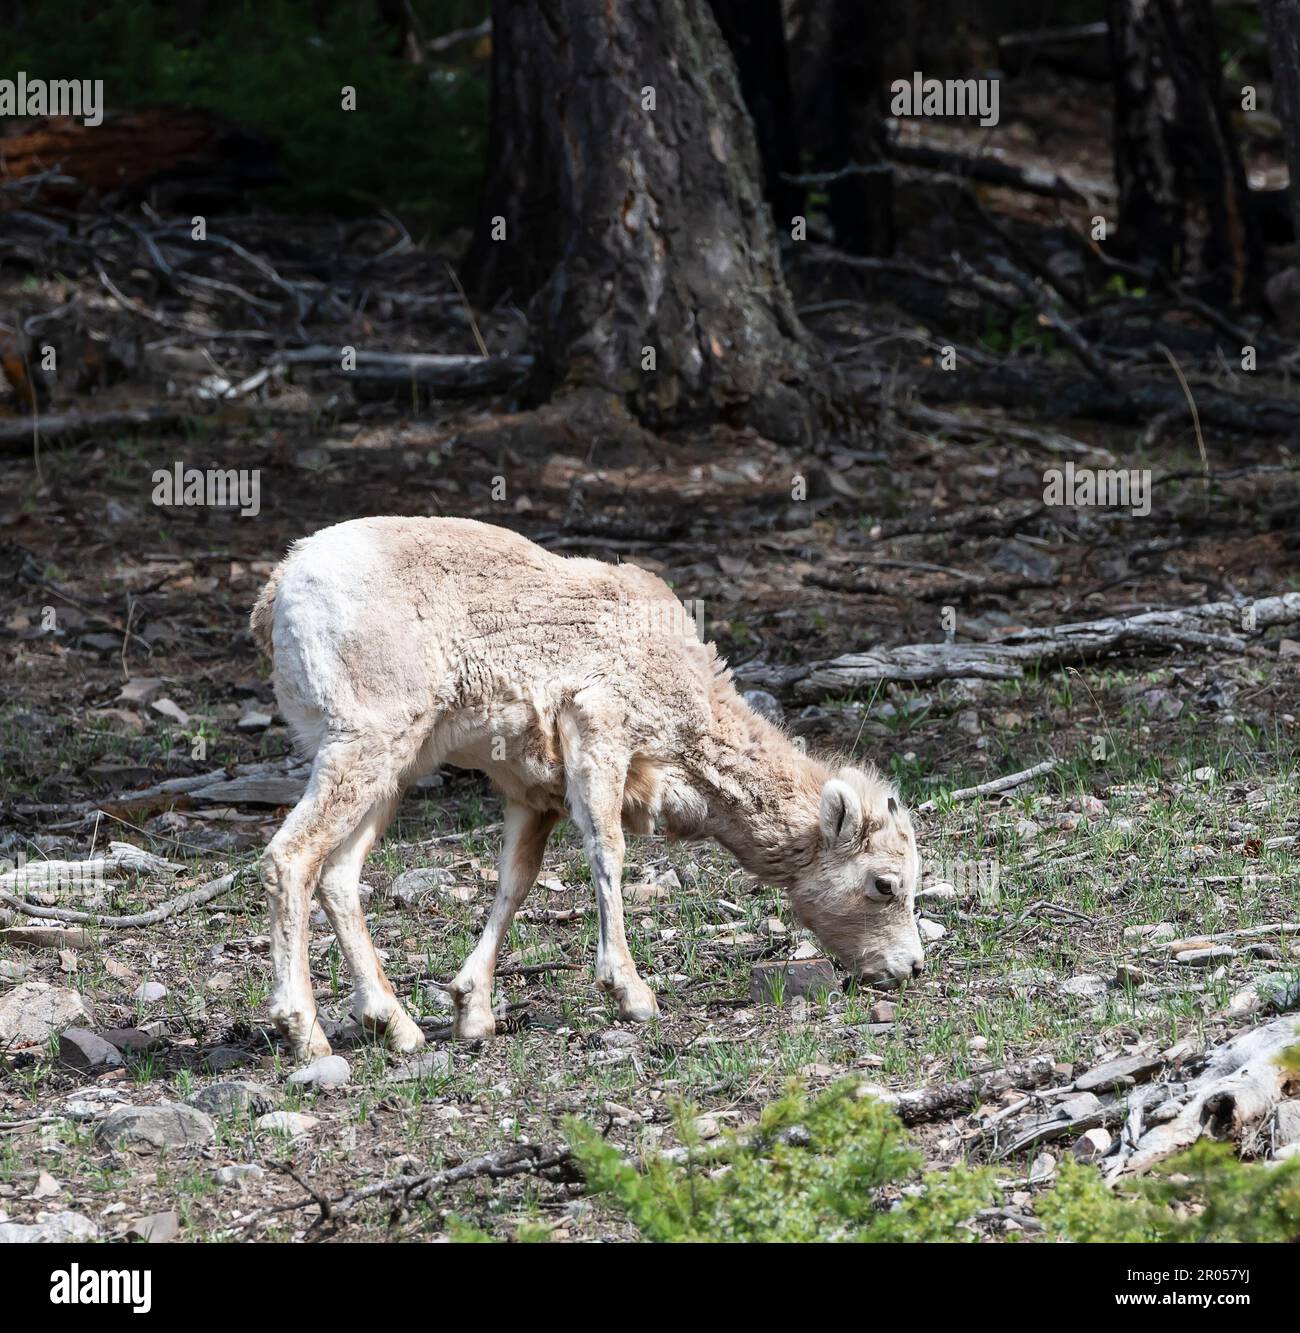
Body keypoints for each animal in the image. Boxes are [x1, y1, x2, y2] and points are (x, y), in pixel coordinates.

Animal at [251, 516, 923, 1058]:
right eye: (884, 884)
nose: (911, 967)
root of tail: (280, 587)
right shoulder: (599, 736)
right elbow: (608, 853)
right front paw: (632, 994)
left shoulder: (531, 794)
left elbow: (515, 882)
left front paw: (473, 1013)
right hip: (363, 744)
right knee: (290, 857)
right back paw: (305, 1033)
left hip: (390, 771)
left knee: (339, 876)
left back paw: (398, 1028)